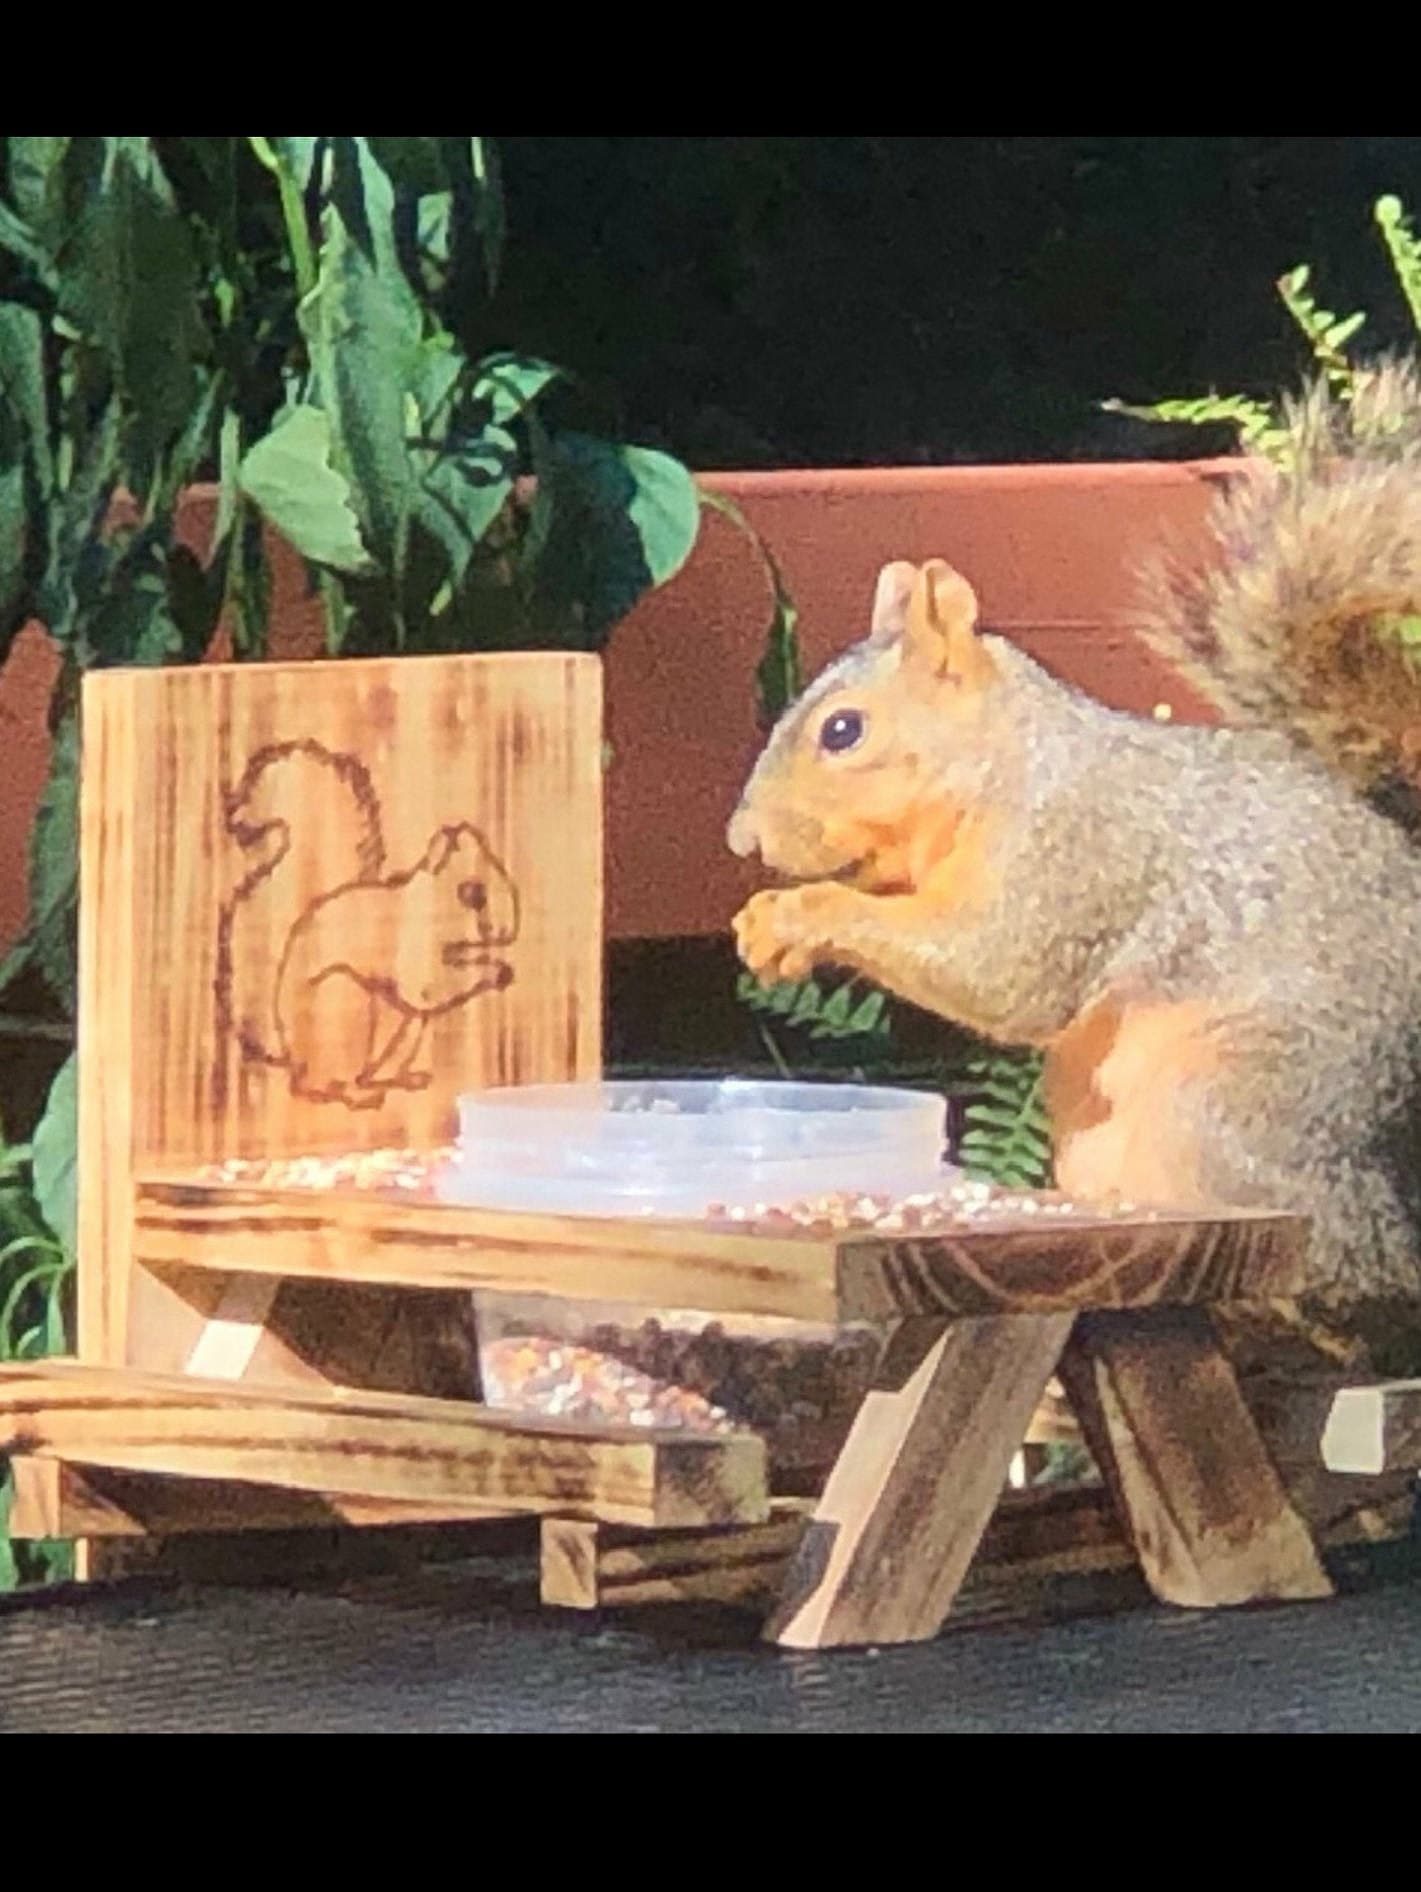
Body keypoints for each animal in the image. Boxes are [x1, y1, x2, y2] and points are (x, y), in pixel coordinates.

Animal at [215, 740, 519, 1111]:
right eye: (472, 893)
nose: (506, 931)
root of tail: (293, 1057)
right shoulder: (413, 955)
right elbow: (431, 989)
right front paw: (492, 973)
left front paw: (500, 967)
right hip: (349, 1009)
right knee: (329, 1083)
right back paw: (356, 1093)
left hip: (408, 1029)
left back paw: (401, 1079)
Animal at [727, 364, 1421, 1316]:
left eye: (842, 731)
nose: (741, 839)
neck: (1008, 768)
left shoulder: (1075, 856)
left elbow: (1000, 972)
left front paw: (799, 913)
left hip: (1238, 1096)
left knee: (1349, 1266)